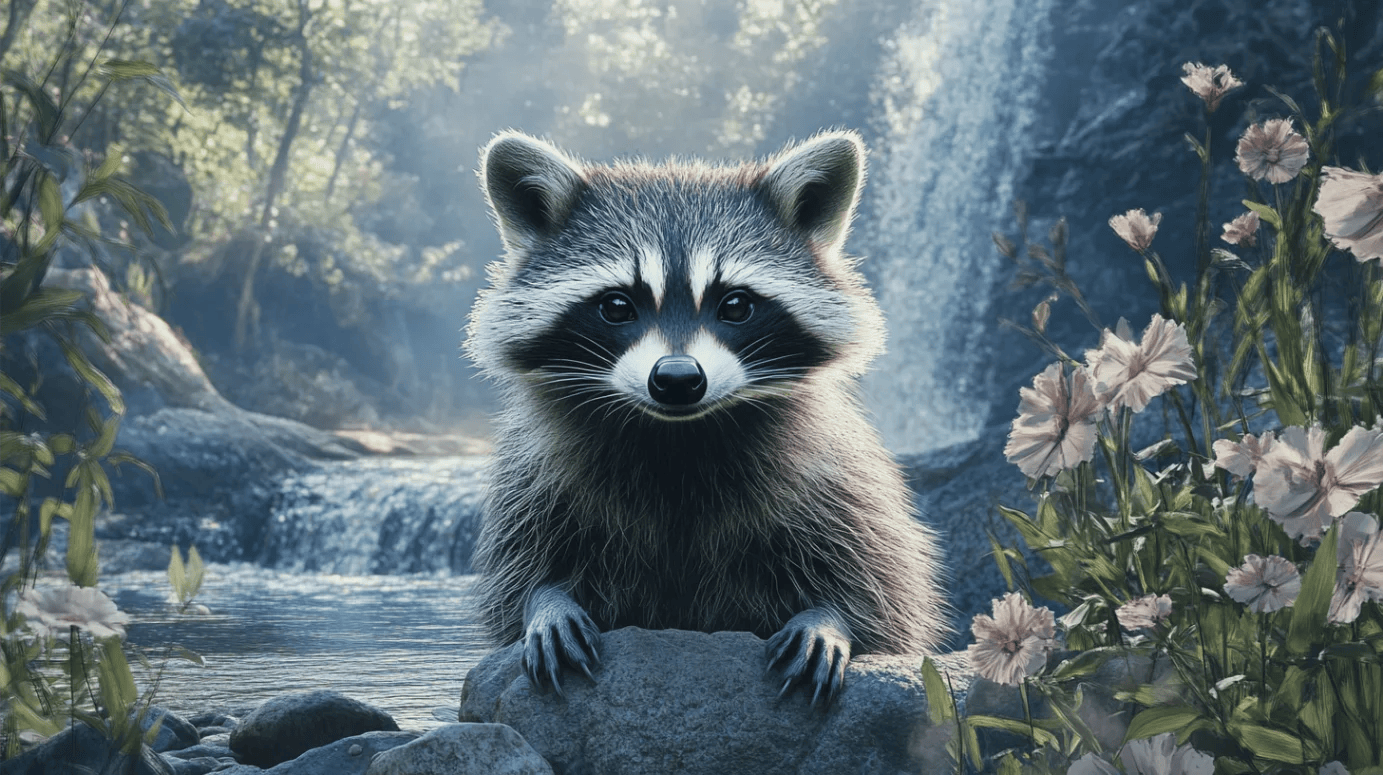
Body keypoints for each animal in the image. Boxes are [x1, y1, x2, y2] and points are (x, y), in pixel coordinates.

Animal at [464, 129, 949, 705]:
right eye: (617, 306)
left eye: (735, 304)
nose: (676, 379)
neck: (679, 438)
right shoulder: (537, 474)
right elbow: (520, 568)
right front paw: (546, 601)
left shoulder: (831, 475)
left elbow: (883, 587)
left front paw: (830, 618)